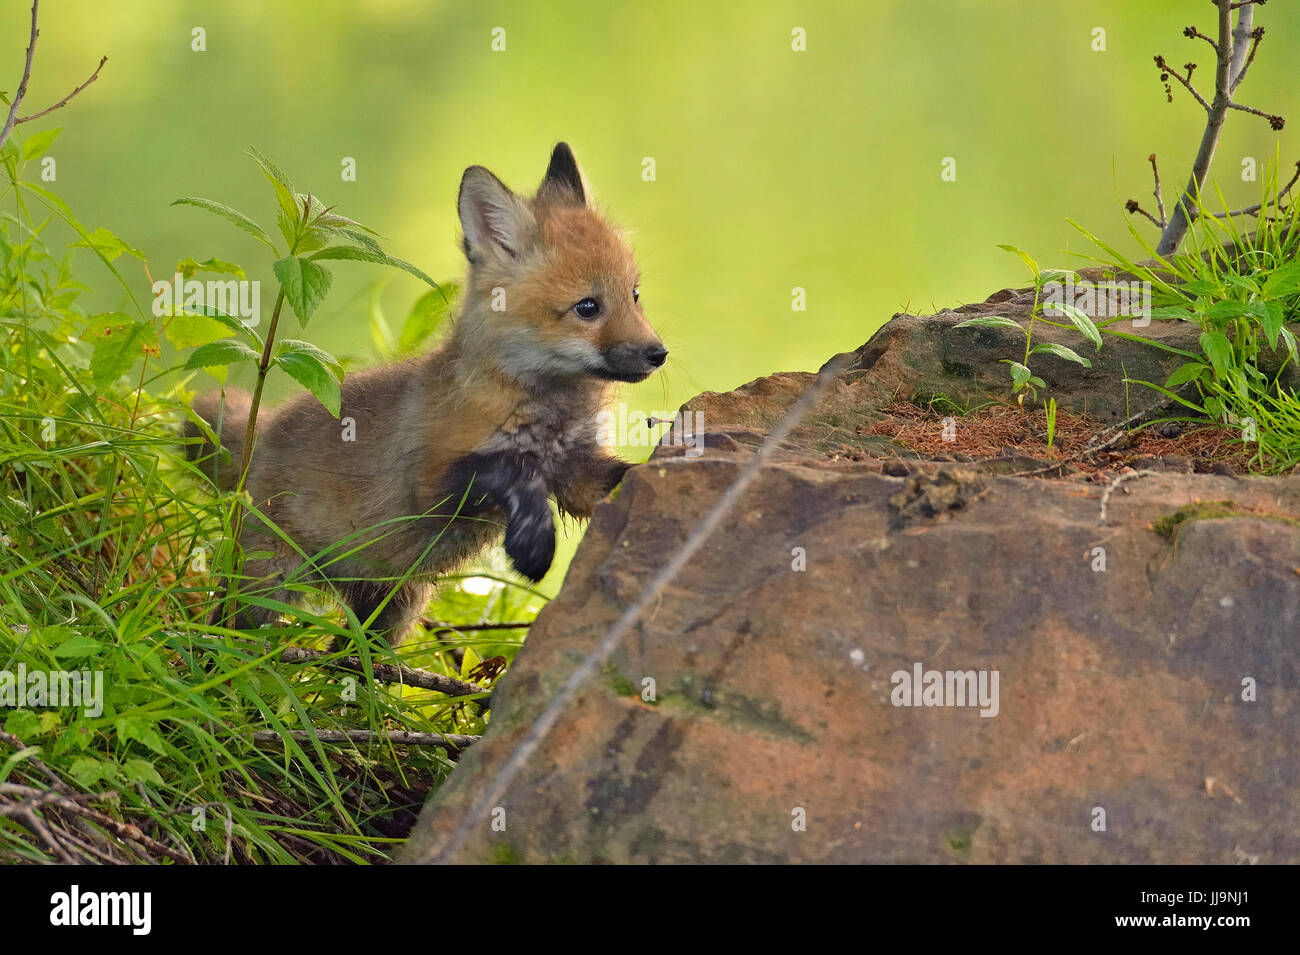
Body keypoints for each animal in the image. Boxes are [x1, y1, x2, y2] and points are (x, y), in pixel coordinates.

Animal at [185, 143, 667, 646]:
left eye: (634, 295)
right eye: (587, 307)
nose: (659, 354)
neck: (544, 411)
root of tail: (264, 427)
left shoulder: (575, 471)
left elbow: (619, 477)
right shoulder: (430, 486)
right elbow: (510, 470)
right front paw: (533, 545)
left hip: (392, 605)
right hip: (265, 587)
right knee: (225, 631)